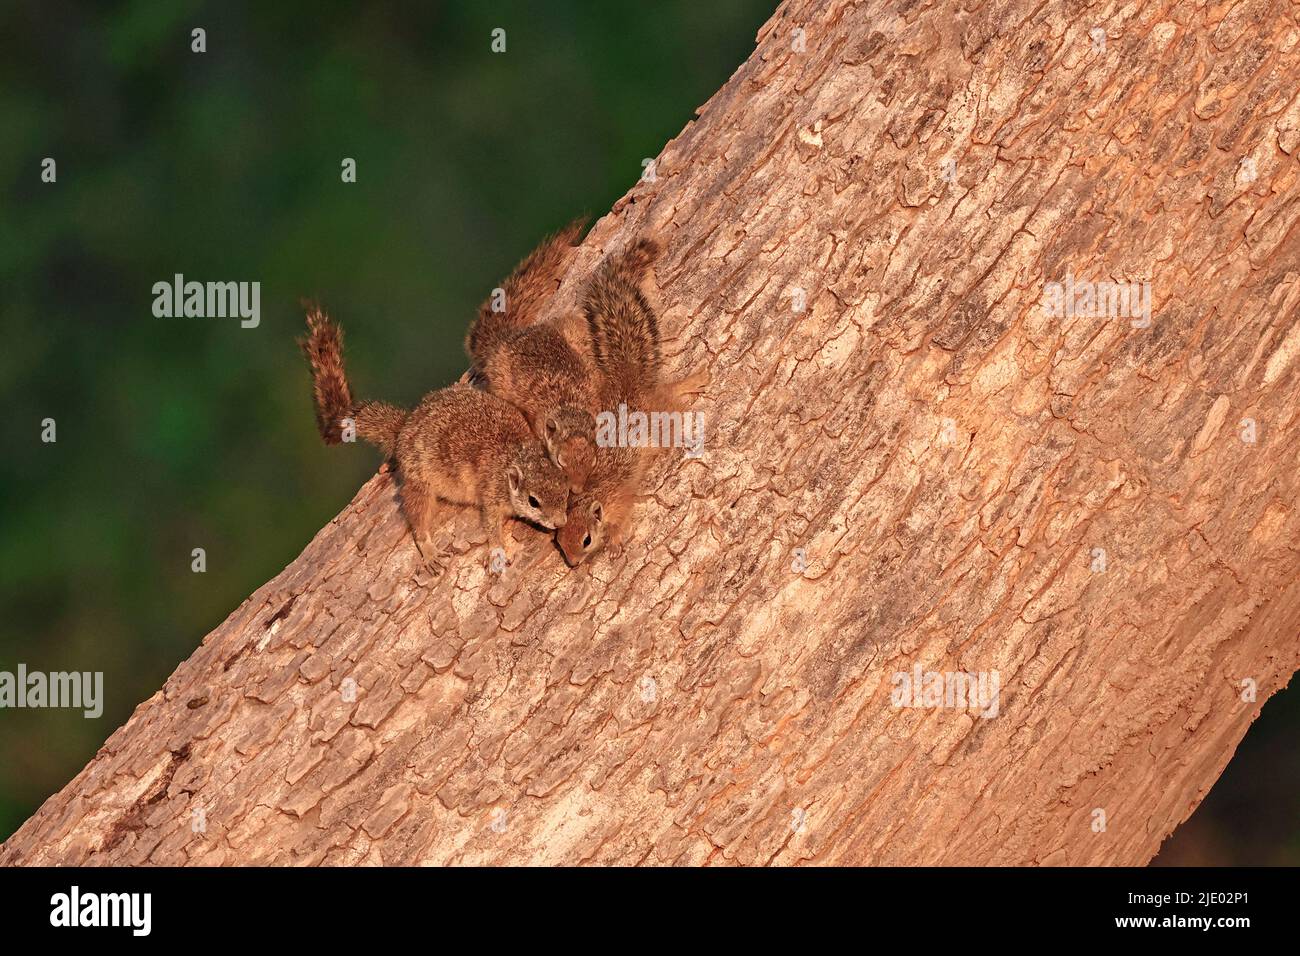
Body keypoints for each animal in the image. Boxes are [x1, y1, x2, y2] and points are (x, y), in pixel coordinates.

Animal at [300, 308, 570, 570]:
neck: (517, 454)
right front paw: (497, 550)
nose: (560, 522)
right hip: (419, 480)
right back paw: (429, 551)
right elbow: (491, 525)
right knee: (418, 515)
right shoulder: (492, 497)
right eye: (533, 501)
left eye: (566, 490)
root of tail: (404, 428)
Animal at [556, 239, 708, 566]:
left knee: (671, 397)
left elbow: (624, 516)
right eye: (559, 541)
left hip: (657, 411)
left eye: (586, 540)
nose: (573, 563)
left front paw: (614, 541)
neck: (592, 496)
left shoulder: (620, 499)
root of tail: (627, 380)